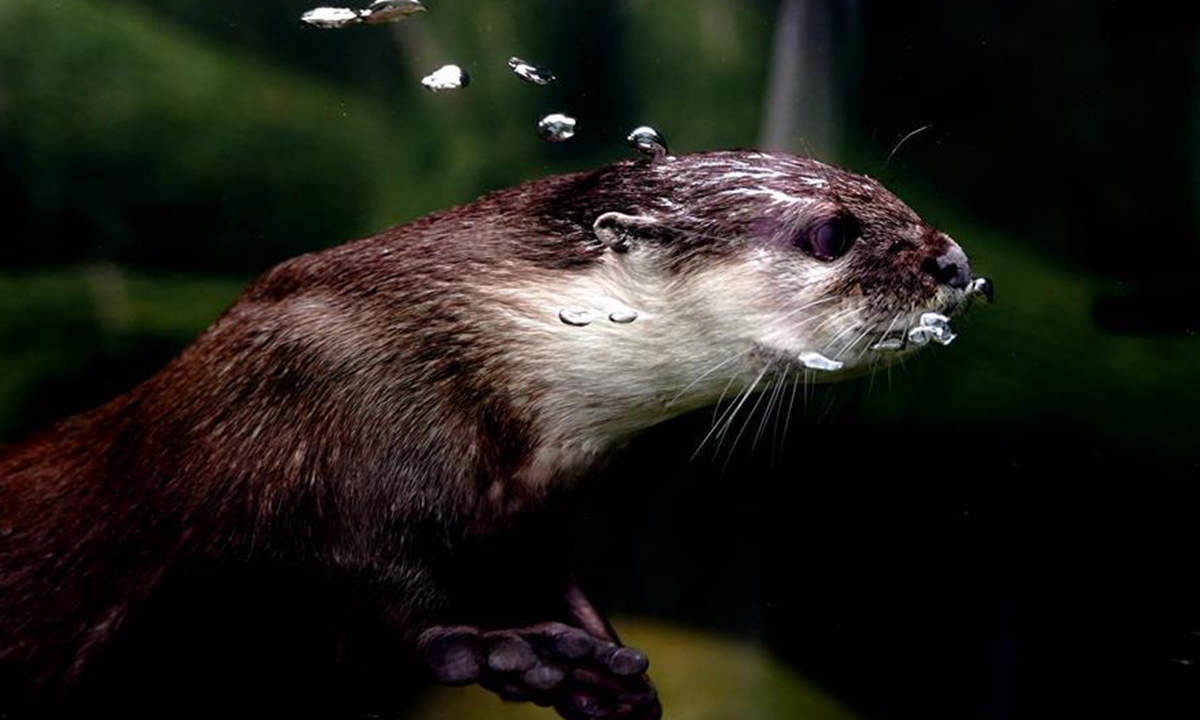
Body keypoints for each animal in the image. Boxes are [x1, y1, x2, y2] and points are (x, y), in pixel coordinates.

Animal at [0, 150, 990, 719]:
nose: (954, 261)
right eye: (832, 233)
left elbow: (536, 562)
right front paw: (511, 652)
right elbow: (382, 601)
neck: (444, 346)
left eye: (894, 194)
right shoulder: (319, 427)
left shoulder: (529, 499)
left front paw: (594, 658)